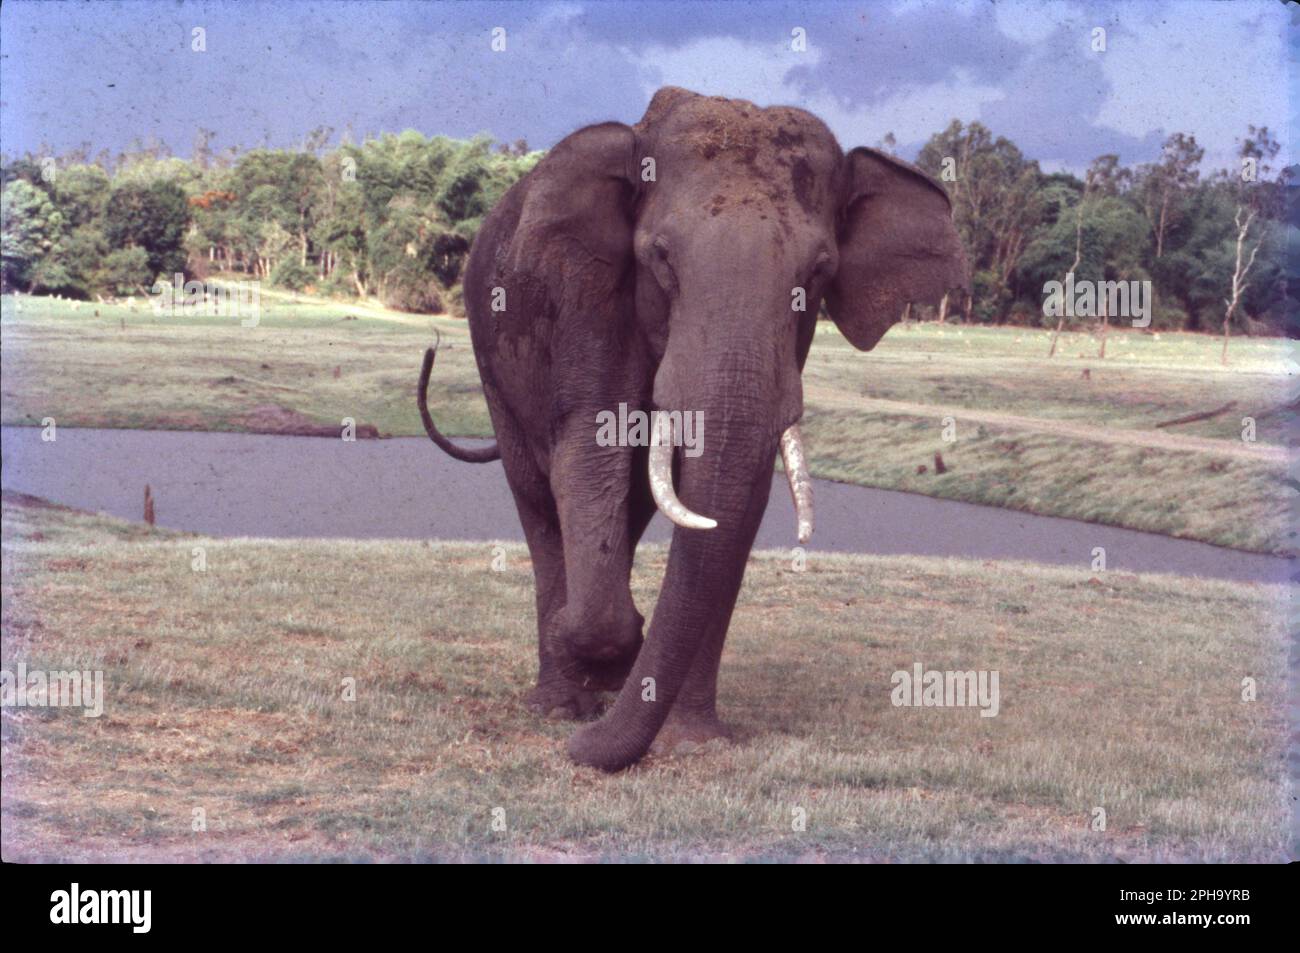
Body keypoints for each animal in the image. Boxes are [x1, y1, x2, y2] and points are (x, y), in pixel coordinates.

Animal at [418, 86, 969, 771]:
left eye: (816, 274)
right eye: (659, 259)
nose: (577, 752)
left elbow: (737, 502)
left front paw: (690, 737)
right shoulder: (589, 299)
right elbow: (588, 453)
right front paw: (610, 671)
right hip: (491, 359)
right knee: (538, 496)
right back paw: (562, 705)